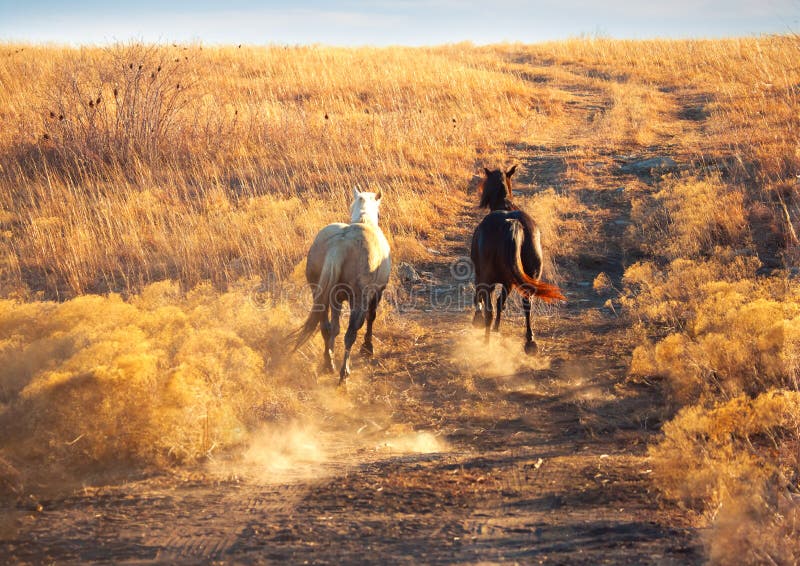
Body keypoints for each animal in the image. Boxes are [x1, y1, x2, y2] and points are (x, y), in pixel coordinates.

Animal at [294, 187, 394, 386]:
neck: (363, 220)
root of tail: (339, 245)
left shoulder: (336, 299)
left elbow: (334, 328)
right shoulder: (376, 293)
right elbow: (371, 318)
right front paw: (367, 348)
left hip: (320, 295)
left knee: (325, 327)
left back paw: (328, 363)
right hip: (359, 300)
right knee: (351, 334)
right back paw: (343, 373)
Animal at [472, 165, 564, 356]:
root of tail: (512, 224)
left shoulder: (481, 276)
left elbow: (481, 299)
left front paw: (478, 320)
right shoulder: (508, 282)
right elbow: (501, 302)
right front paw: (497, 329)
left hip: (487, 279)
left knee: (489, 310)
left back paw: (486, 343)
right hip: (529, 277)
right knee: (526, 305)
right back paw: (530, 342)